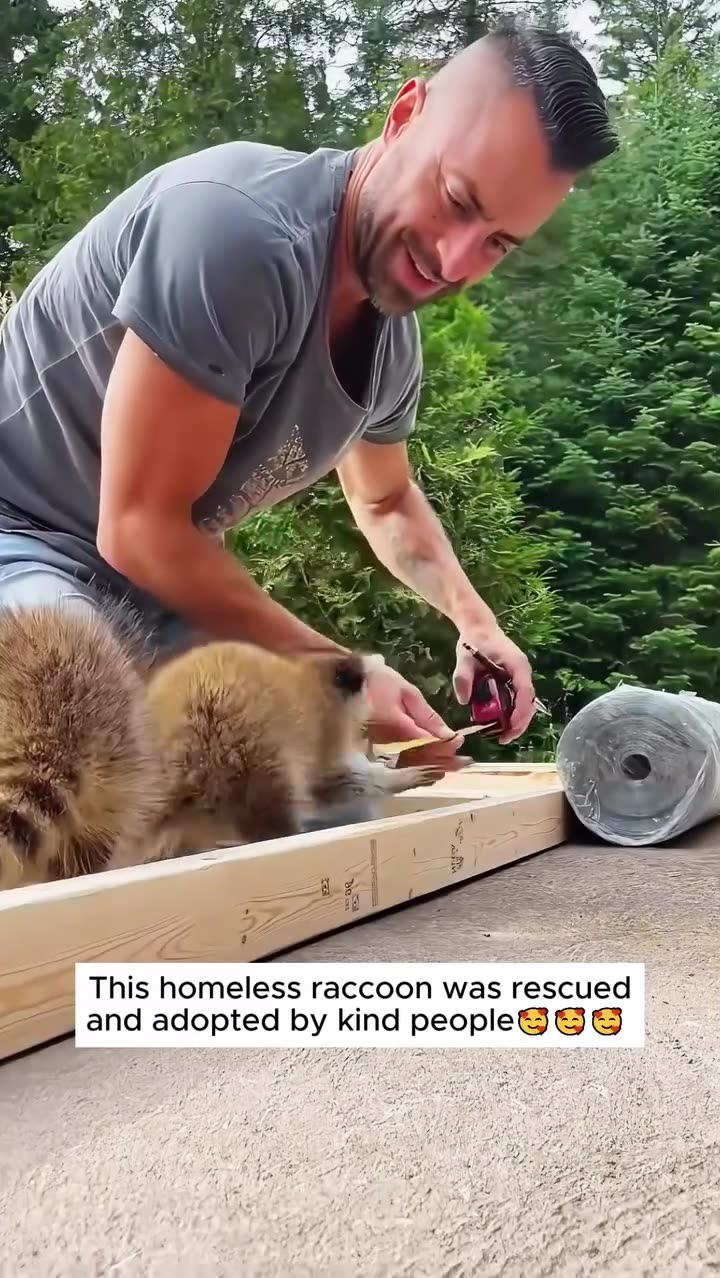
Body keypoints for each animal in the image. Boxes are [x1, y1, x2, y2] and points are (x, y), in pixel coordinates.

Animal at [141, 640, 444, 860]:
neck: (317, 672)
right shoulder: (324, 732)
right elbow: (336, 781)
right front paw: (395, 778)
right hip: (252, 746)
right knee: (277, 796)